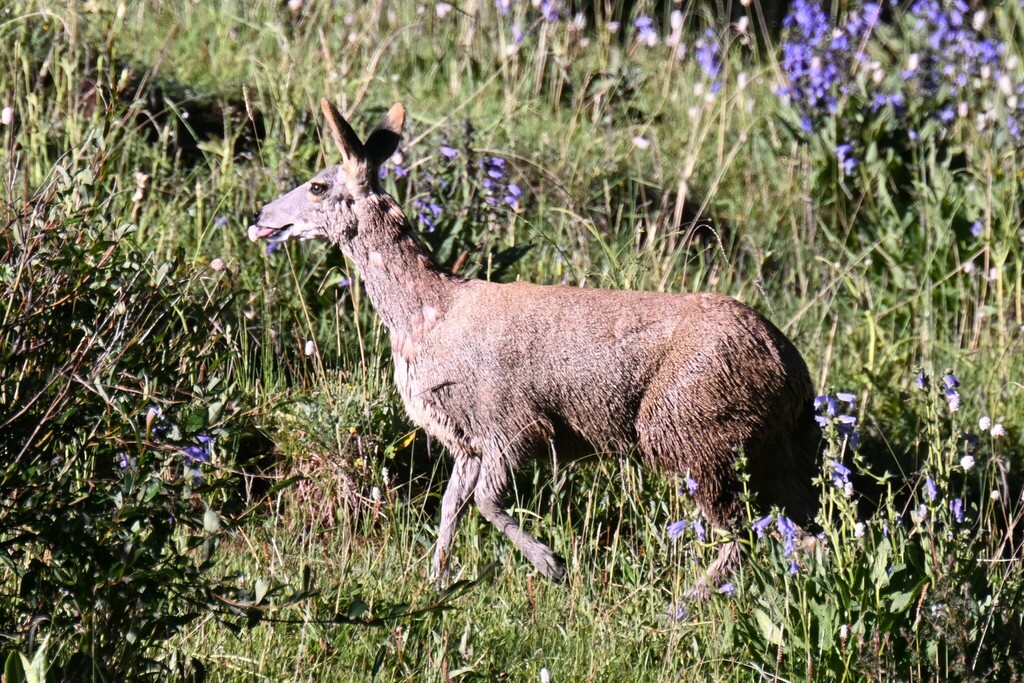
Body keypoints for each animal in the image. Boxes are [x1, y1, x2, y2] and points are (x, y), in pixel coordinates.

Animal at [249, 98, 821, 594]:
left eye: (317, 186)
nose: (261, 217)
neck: (426, 317)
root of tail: (791, 368)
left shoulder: (515, 422)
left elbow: (484, 503)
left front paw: (550, 562)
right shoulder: (466, 439)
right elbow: (451, 506)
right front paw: (436, 580)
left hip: (692, 433)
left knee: (742, 533)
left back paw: (681, 606)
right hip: (777, 445)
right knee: (806, 525)